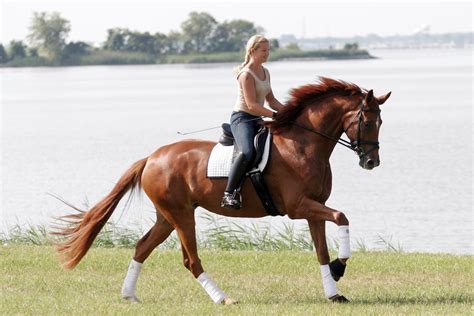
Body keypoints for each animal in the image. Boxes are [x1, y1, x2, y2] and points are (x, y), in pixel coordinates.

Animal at [55, 76, 390, 304]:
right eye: (368, 122)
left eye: (381, 122)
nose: (371, 162)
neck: (304, 145)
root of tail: (151, 157)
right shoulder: (298, 207)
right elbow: (342, 216)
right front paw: (339, 268)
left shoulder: (313, 209)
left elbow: (321, 250)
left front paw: (334, 287)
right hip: (180, 216)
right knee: (190, 260)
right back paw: (222, 298)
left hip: (167, 216)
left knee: (141, 247)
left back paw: (129, 295)